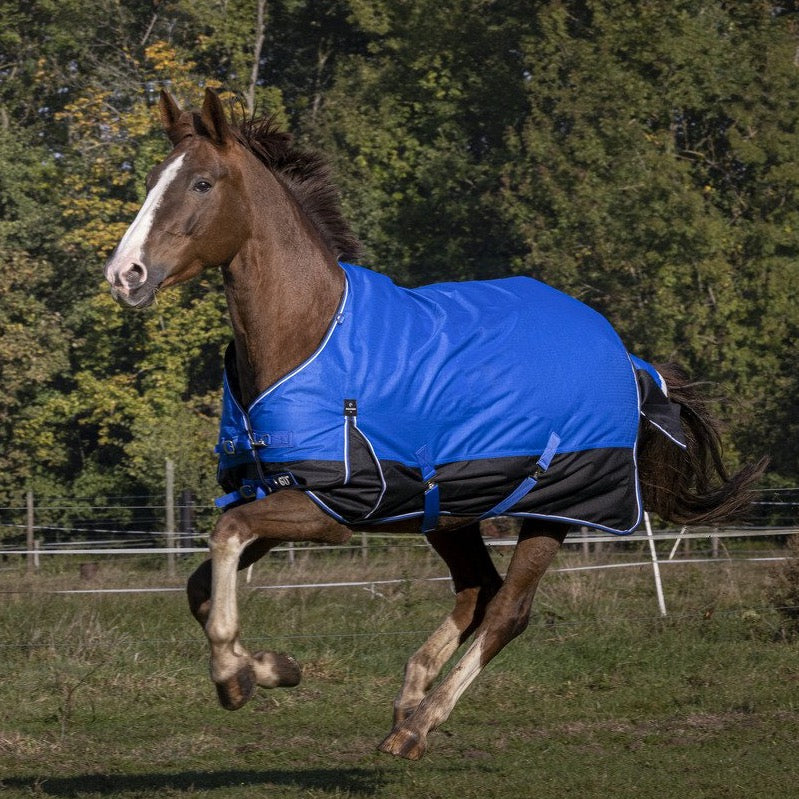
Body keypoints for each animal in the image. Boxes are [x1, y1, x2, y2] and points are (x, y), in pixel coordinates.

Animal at [103, 88, 766, 760]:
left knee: (507, 611)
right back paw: (407, 700)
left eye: (202, 183)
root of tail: (628, 360)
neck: (308, 335)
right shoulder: (276, 492)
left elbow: (225, 537)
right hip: (449, 509)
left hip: (552, 512)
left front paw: (236, 675)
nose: (125, 274)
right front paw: (270, 668)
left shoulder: (327, 508)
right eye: (152, 178)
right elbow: (201, 587)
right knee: (477, 589)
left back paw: (419, 724)